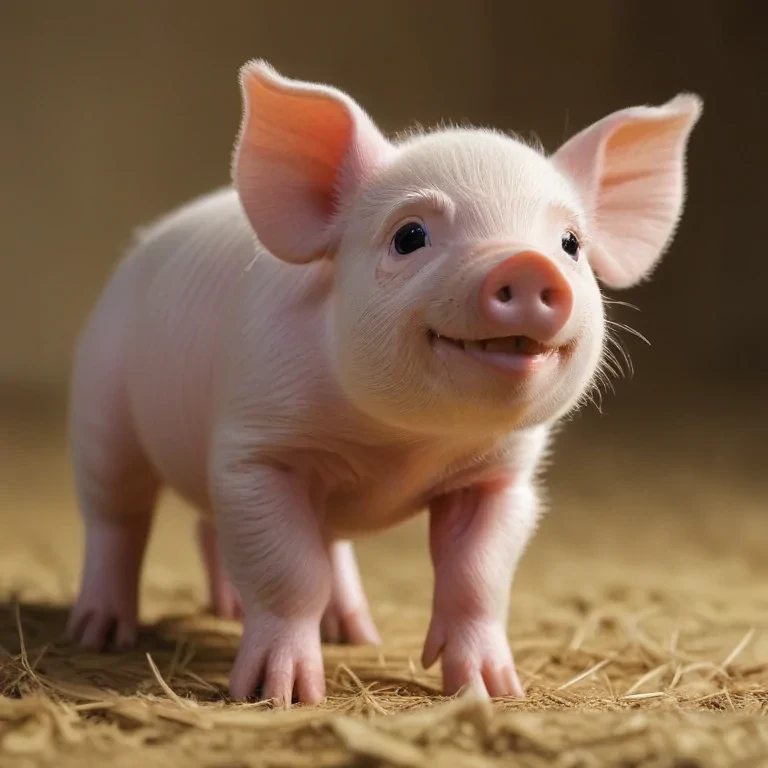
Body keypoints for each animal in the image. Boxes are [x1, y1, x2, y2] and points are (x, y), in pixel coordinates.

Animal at [66, 59, 702, 706]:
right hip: (101, 402)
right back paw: (99, 633)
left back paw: (343, 630)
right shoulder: (256, 453)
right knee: (117, 517)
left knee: (255, 532)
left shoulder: (501, 479)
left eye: (570, 243)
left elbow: (478, 576)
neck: (402, 447)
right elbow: (290, 571)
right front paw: (280, 695)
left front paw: (492, 691)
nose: (527, 264)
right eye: (410, 236)